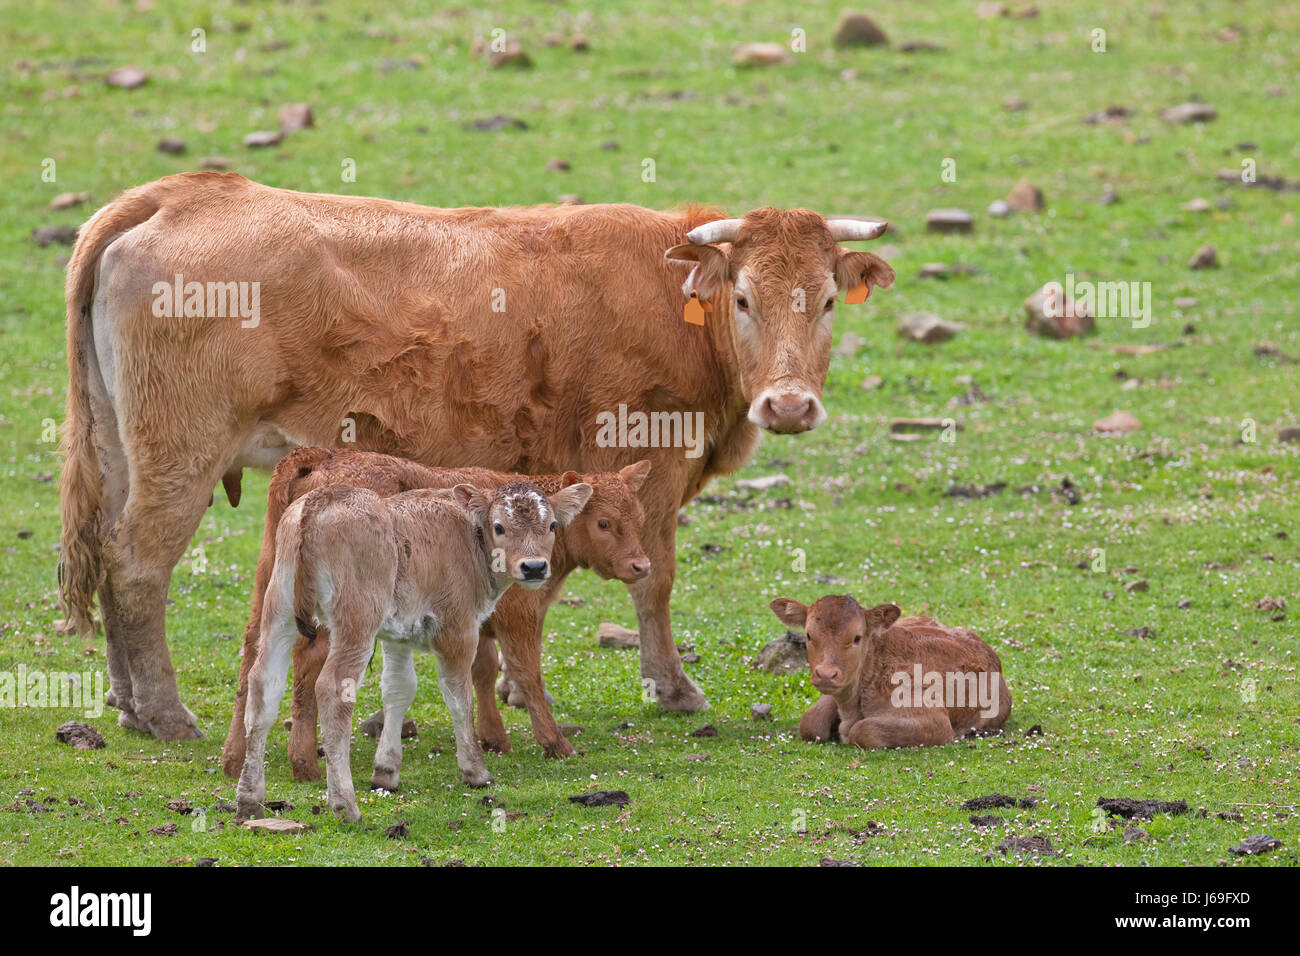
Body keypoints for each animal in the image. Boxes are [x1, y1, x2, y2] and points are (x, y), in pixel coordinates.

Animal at [58, 172, 895, 739]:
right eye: (745, 299)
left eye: (826, 300)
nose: (788, 404)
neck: (676, 299)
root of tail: (182, 194)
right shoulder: (645, 469)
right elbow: (652, 583)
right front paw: (672, 687)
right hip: (180, 454)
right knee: (138, 565)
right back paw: (165, 713)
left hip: (122, 451)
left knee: (109, 558)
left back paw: (128, 702)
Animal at [218, 446, 651, 778]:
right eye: (604, 522)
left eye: (639, 518)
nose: (641, 566)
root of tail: (323, 455)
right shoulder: (518, 617)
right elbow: (526, 672)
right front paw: (555, 742)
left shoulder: (475, 617)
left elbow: (482, 670)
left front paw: (492, 737)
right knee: (309, 666)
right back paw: (304, 763)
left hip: (271, 589)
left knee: (254, 651)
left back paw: (235, 758)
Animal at [235, 479, 593, 823]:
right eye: (499, 526)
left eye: (552, 525)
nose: (534, 567)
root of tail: (321, 498)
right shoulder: (458, 628)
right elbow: (459, 697)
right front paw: (475, 770)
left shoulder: (398, 634)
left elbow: (399, 689)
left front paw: (386, 770)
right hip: (357, 618)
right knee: (332, 689)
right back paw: (344, 805)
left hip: (279, 606)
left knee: (263, 683)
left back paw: (250, 799)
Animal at [768, 596, 1011, 748]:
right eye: (809, 635)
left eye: (857, 637)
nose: (826, 674)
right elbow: (810, 721)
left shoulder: (936, 721)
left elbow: (863, 730)